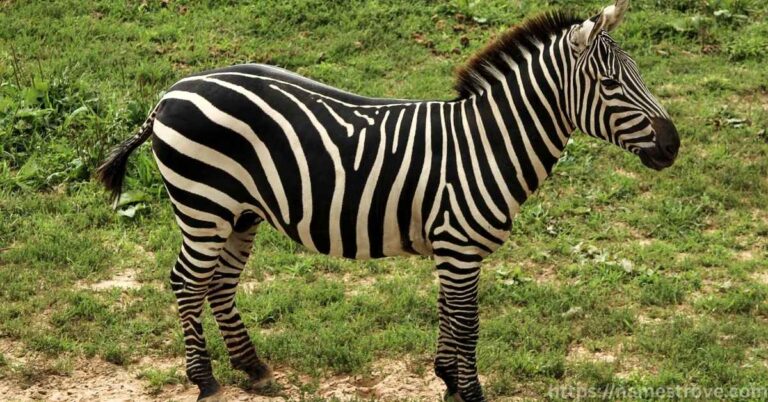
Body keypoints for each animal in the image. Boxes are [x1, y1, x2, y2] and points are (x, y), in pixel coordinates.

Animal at [96, 1, 679, 401]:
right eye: (611, 84)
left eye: (638, 75)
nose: (673, 145)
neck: (487, 142)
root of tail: (171, 92)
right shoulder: (459, 247)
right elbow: (468, 322)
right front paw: (469, 390)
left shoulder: (450, 249)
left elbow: (450, 314)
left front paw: (447, 378)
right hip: (205, 206)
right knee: (186, 282)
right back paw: (205, 378)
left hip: (240, 213)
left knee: (217, 284)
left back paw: (251, 366)